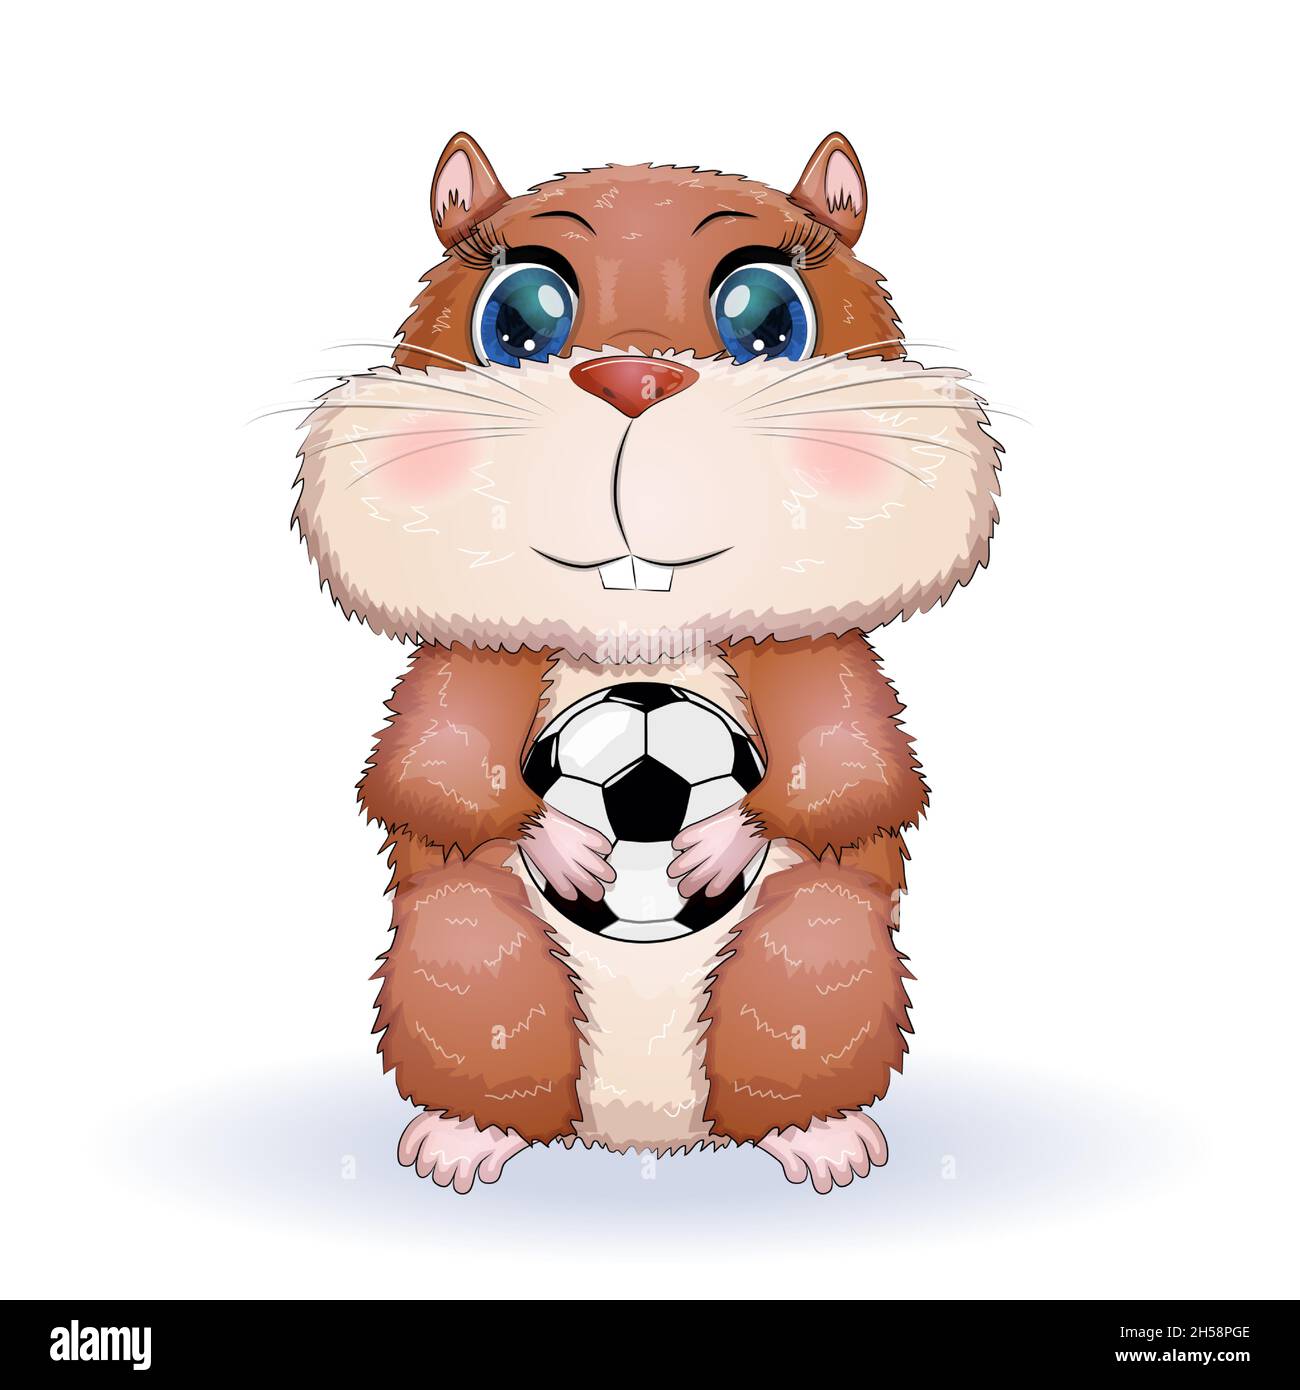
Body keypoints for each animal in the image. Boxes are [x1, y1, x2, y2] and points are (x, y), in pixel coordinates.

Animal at [292, 132, 1001, 1193]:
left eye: (764, 318)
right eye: (520, 319)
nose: (633, 380)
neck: (642, 630)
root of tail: (644, 1134)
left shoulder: (815, 651)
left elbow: (856, 768)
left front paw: (731, 836)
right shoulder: (469, 657)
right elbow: (429, 768)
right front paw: (553, 836)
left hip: (810, 963)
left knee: (811, 951)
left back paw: (818, 1132)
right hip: (470, 960)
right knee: (472, 951)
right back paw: (468, 1132)